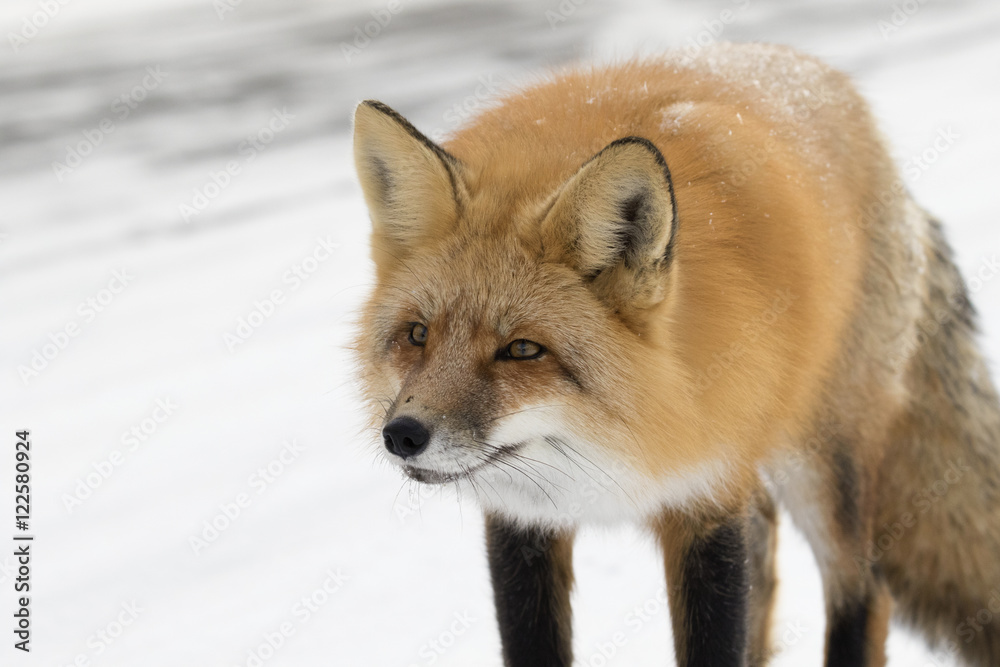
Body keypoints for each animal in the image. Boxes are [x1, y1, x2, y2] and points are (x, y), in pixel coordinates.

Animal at [351, 43, 1000, 667]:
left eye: (522, 349)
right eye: (417, 335)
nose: (403, 434)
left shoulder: (706, 498)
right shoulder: (523, 519)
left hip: (822, 457)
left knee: (863, 588)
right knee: (769, 542)